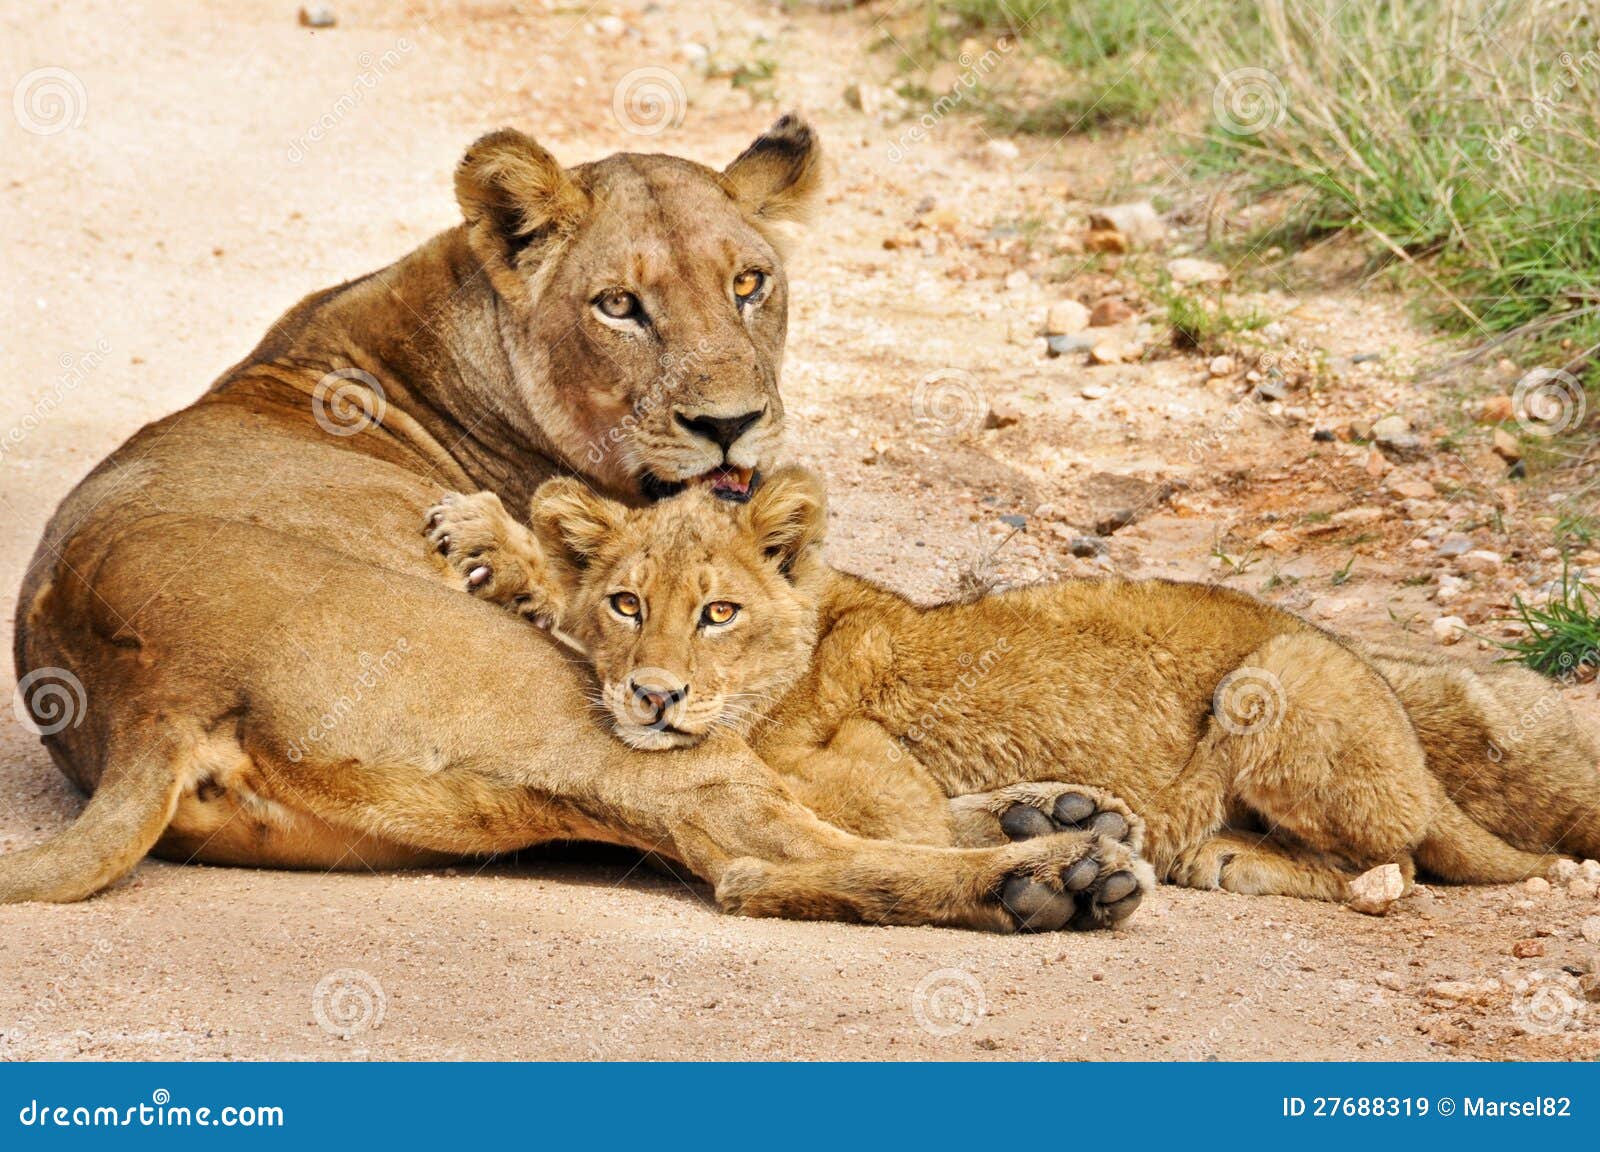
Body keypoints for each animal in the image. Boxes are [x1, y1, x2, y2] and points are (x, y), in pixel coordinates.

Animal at [5, 117, 1146, 934]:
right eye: (619, 307)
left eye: (750, 284)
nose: (730, 424)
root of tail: (150, 689)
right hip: (585, 706)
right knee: (754, 847)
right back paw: (1050, 872)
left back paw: (1054, 815)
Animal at [423, 464, 1600, 914]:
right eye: (627, 605)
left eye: (717, 614)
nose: (656, 697)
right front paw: (492, 540)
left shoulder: (869, 767)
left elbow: (873, 818)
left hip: (1276, 679)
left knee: (1390, 863)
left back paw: (1226, 856)